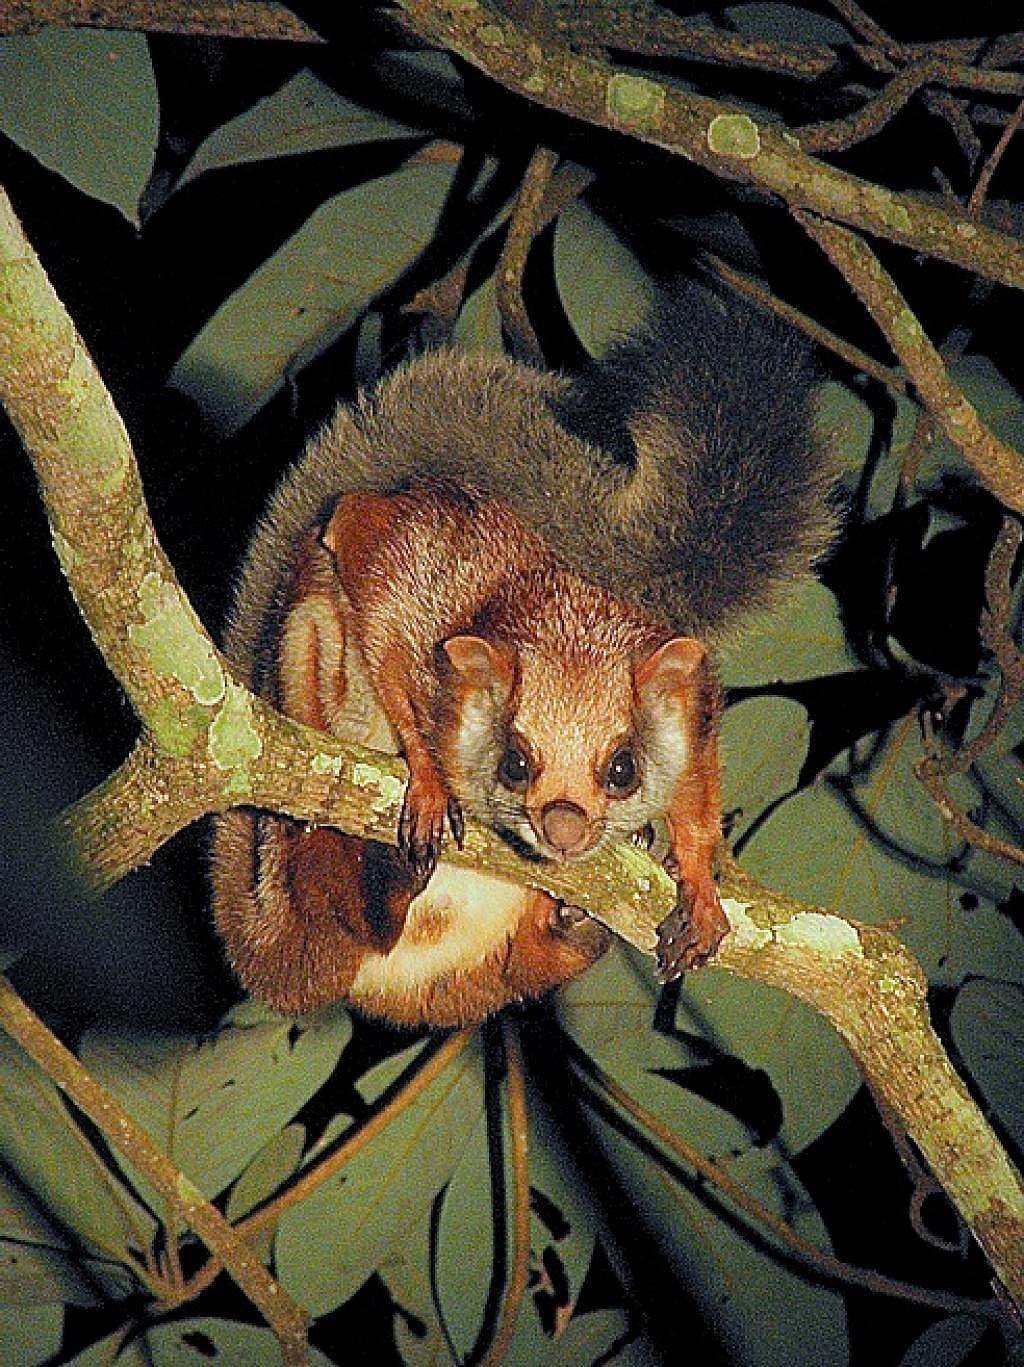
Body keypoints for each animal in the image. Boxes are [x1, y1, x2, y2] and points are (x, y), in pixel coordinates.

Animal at [210, 285, 836, 1027]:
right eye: (515, 762)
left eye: (622, 769)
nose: (563, 824)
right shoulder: (407, 575)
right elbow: (375, 605)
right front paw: (428, 781)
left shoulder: (688, 699)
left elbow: (697, 781)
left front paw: (700, 885)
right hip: (303, 671)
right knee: (321, 879)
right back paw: (374, 876)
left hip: (480, 974)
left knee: (527, 964)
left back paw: (571, 922)